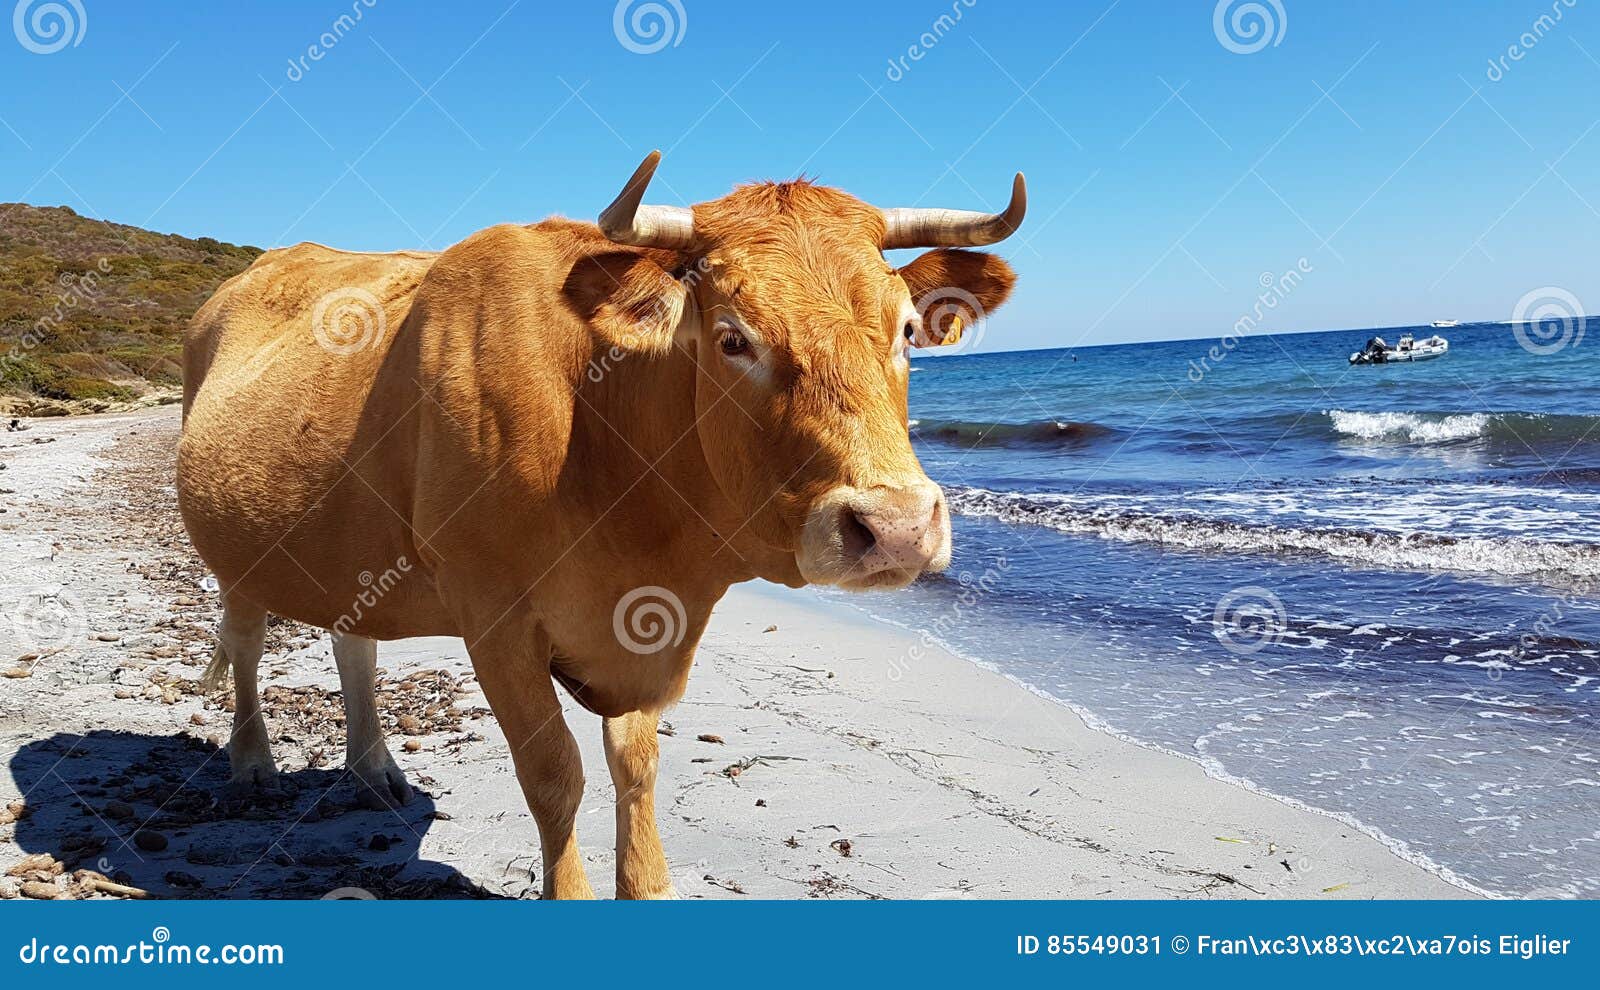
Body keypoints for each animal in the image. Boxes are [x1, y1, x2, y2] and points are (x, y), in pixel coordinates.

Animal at [177, 152, 1024, 898]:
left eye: (907, 330)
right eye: (733, 337)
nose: (897, 526)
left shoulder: (648, 623)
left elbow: (636, 763)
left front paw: (647, 886)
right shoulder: (494, 616)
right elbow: (553, 771)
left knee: (353, 641)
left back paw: (375, 767)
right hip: (233, 546)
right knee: (246, 640)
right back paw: (252, 764)